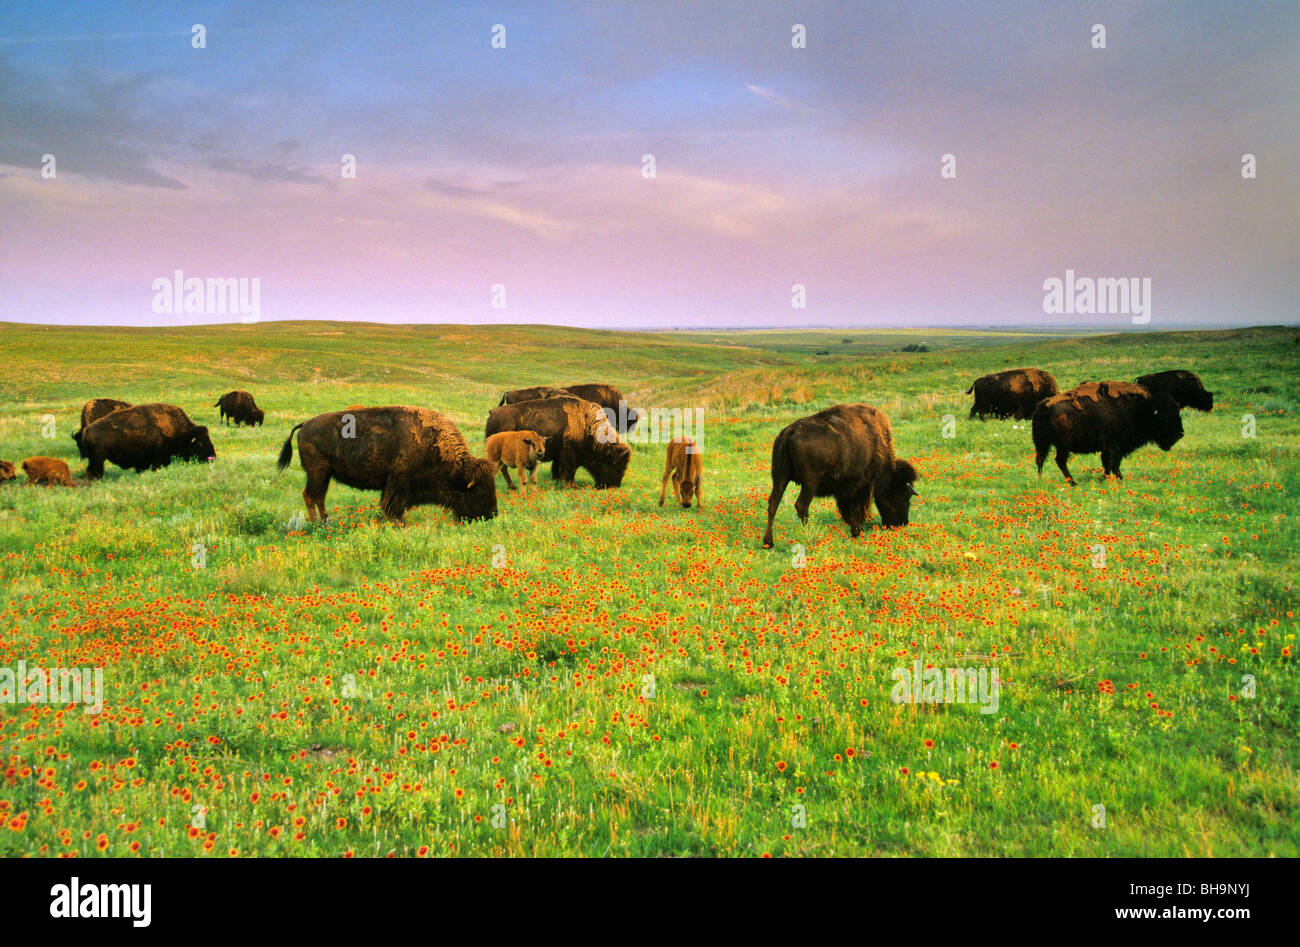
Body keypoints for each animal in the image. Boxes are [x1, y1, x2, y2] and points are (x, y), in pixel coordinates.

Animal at [81, 403, 215, 480]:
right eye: (199, 443)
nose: (213, 457)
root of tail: (88, 429)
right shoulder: (159, 458)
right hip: (98, 459)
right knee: (95, 471)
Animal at [277, 406, 497, 523]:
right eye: (478, 490)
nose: (492, 514)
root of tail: (305, 424)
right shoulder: (398, 485)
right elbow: (391, 507)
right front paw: (400, 524)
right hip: (318, 472)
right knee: (310, 495)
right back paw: (317, 524)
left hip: (324, 475)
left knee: (318, 497)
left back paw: (325, 522)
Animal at [485, 396, 631, 488]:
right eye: (616, 464)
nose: (614, 485)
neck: (587, 426)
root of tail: (493, 413)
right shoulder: (569, 456)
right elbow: (569, 471)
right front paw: (572, 486)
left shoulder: (559, 456)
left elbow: (556, 470)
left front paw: (556, 481)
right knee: (502, 469)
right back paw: (512, 487)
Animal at [762, 403, 918, 548]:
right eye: (904, 495)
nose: (902, 523)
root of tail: (790, 431)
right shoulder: (864, 485)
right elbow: (857, 509)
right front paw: (857, 532)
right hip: (809, 484)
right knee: (801, 505)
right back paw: (810, 537)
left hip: (780, 478)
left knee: (773, 504)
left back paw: (768, 543)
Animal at [1032, 381, 1183, 484]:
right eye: (1165, 415)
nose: (1181, 433)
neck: (1142, 409)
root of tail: (1044, 406)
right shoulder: (1113, 446)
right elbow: (1111, 463)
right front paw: (1110, 479)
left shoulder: (1113, 448)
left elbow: (1112, 464)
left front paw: (1116, 478)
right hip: (1063, 445)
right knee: (1060, 461)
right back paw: (1073, 483)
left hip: (1043, 442)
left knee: (1041, 459)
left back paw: (1040, 480)